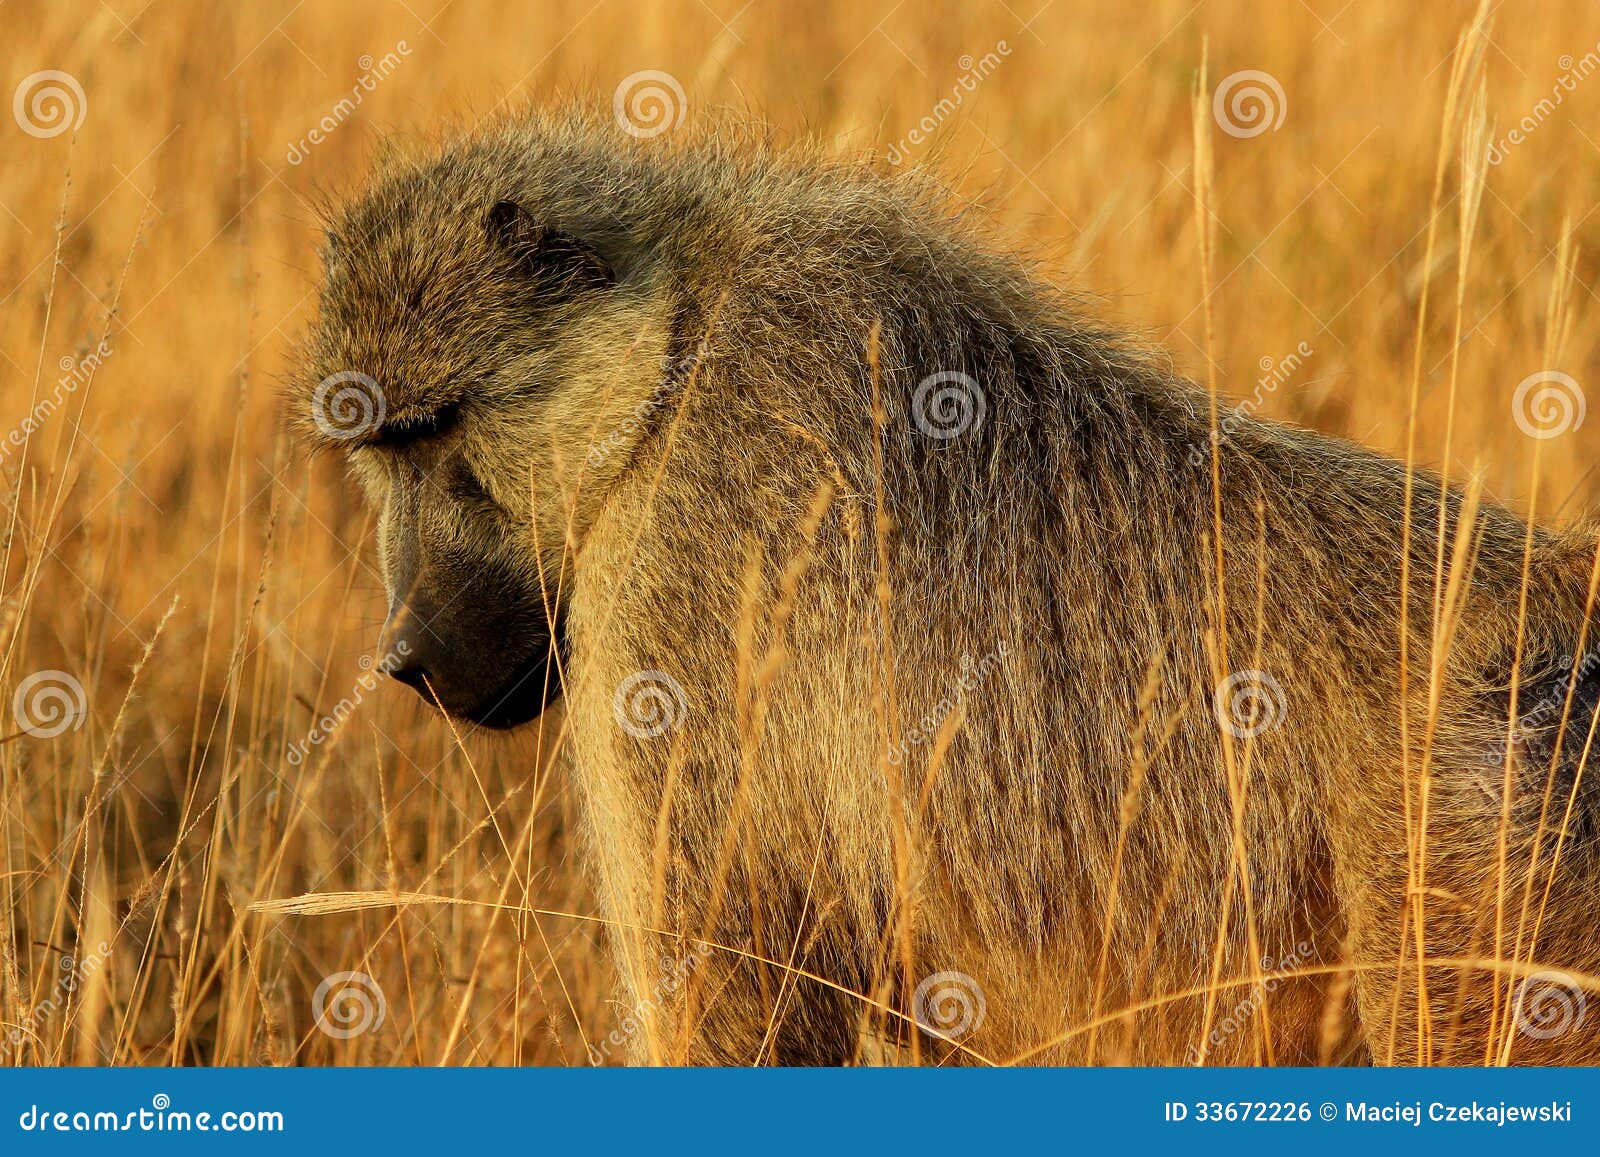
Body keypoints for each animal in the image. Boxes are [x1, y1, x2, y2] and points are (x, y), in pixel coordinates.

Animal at [293, 105, 1600, 1066]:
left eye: (436, 429)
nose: (403, 656)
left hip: (1469, 868)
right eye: (376, 446)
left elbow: (738, 999)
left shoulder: (673, 586)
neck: (666, 363)